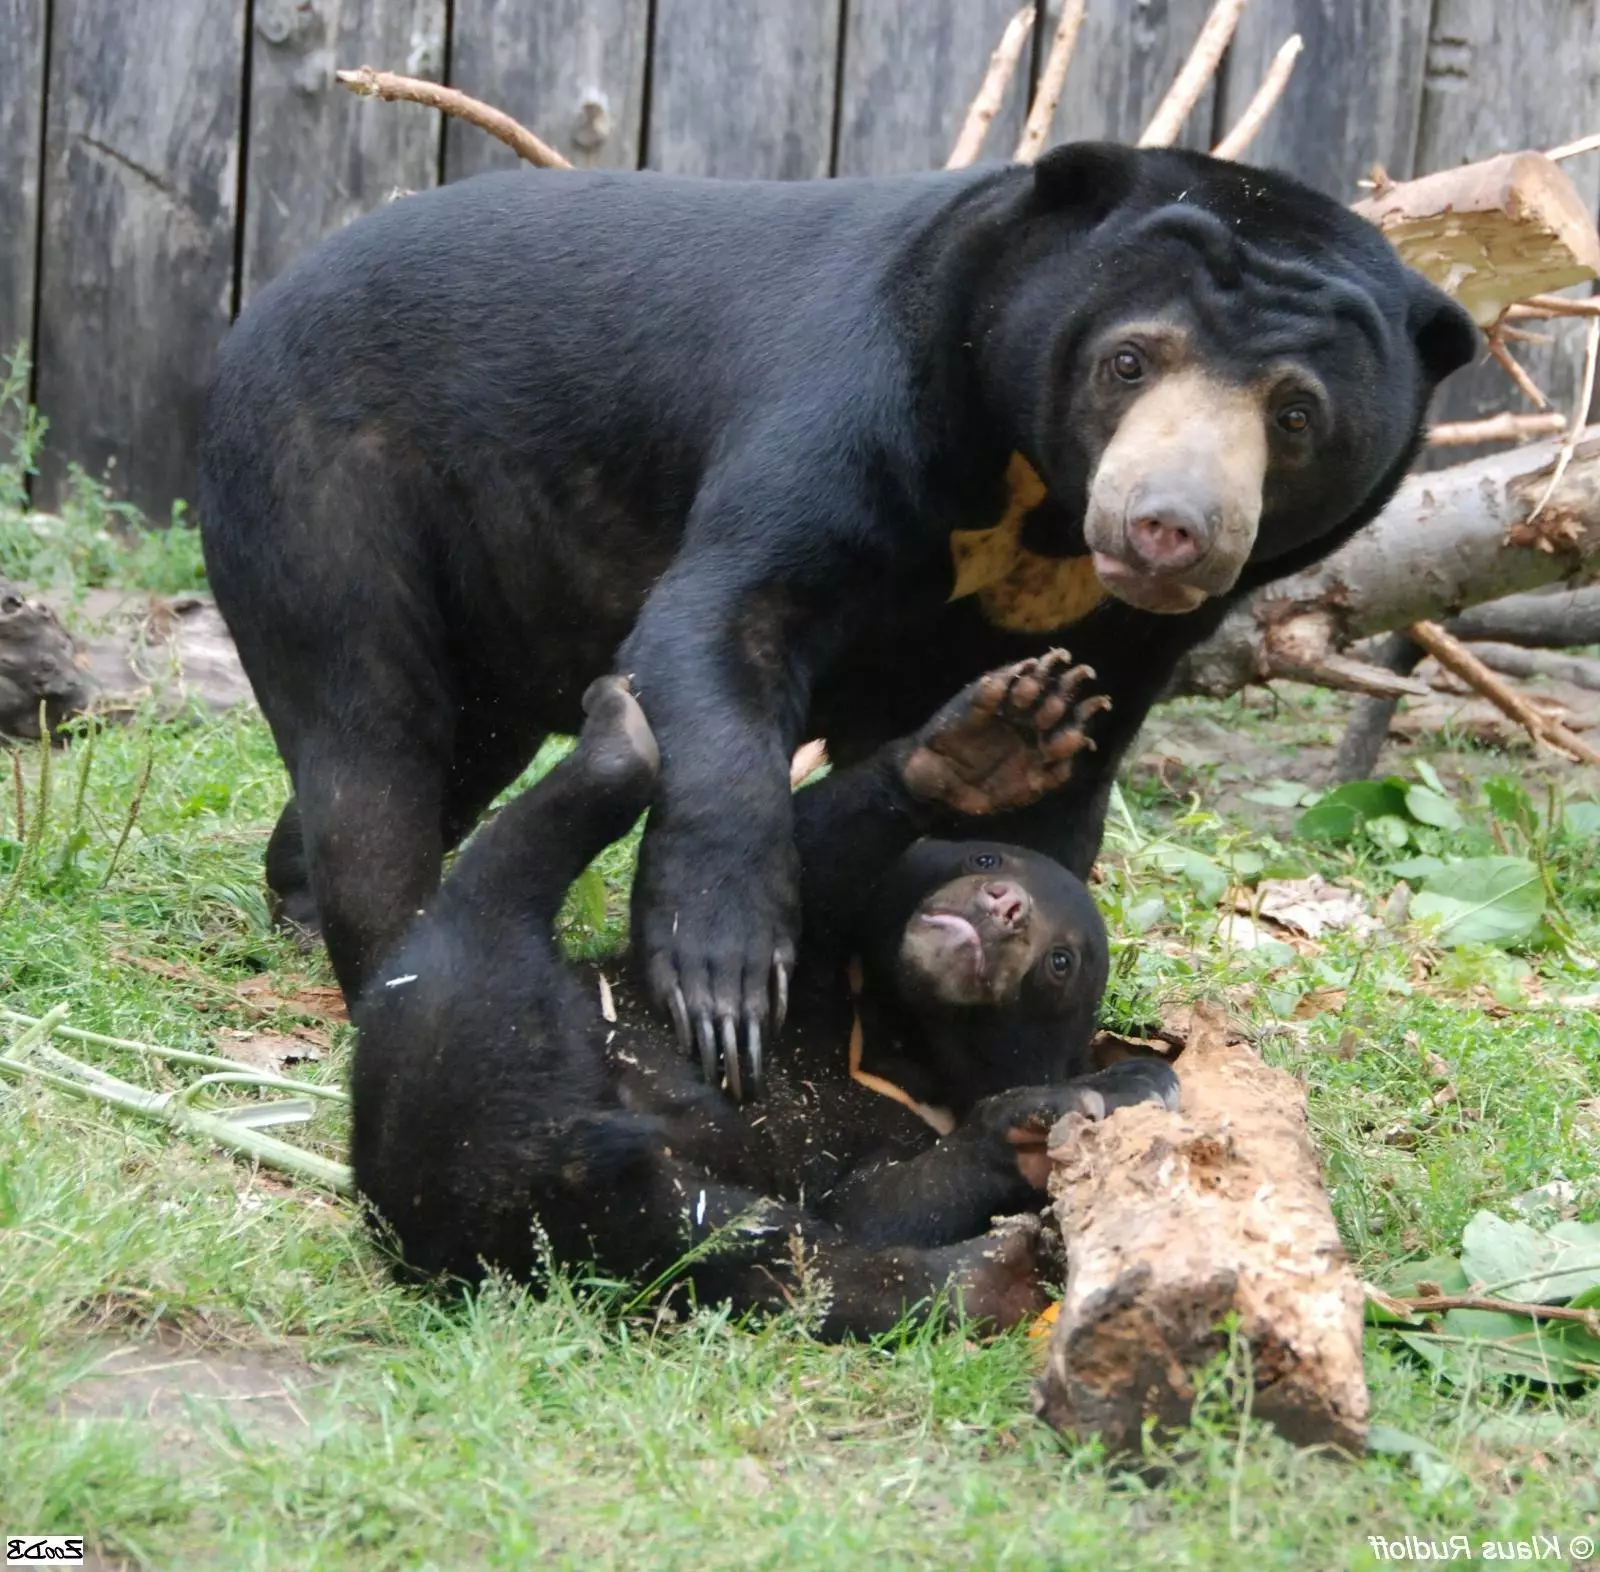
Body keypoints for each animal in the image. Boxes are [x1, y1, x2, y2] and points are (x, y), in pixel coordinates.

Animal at [203, 141, 1472, 1094]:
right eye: (1128, 362)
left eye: (1296, 415)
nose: (1170, 530)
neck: (1038, 507)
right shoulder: (857, 399)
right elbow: (722, 622)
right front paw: (721, 985)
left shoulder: (1133, 634)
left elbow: (1061, 775)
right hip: (326, 475)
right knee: (371, 729)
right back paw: (387, 959)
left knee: (459, 746)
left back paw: (297, 900)